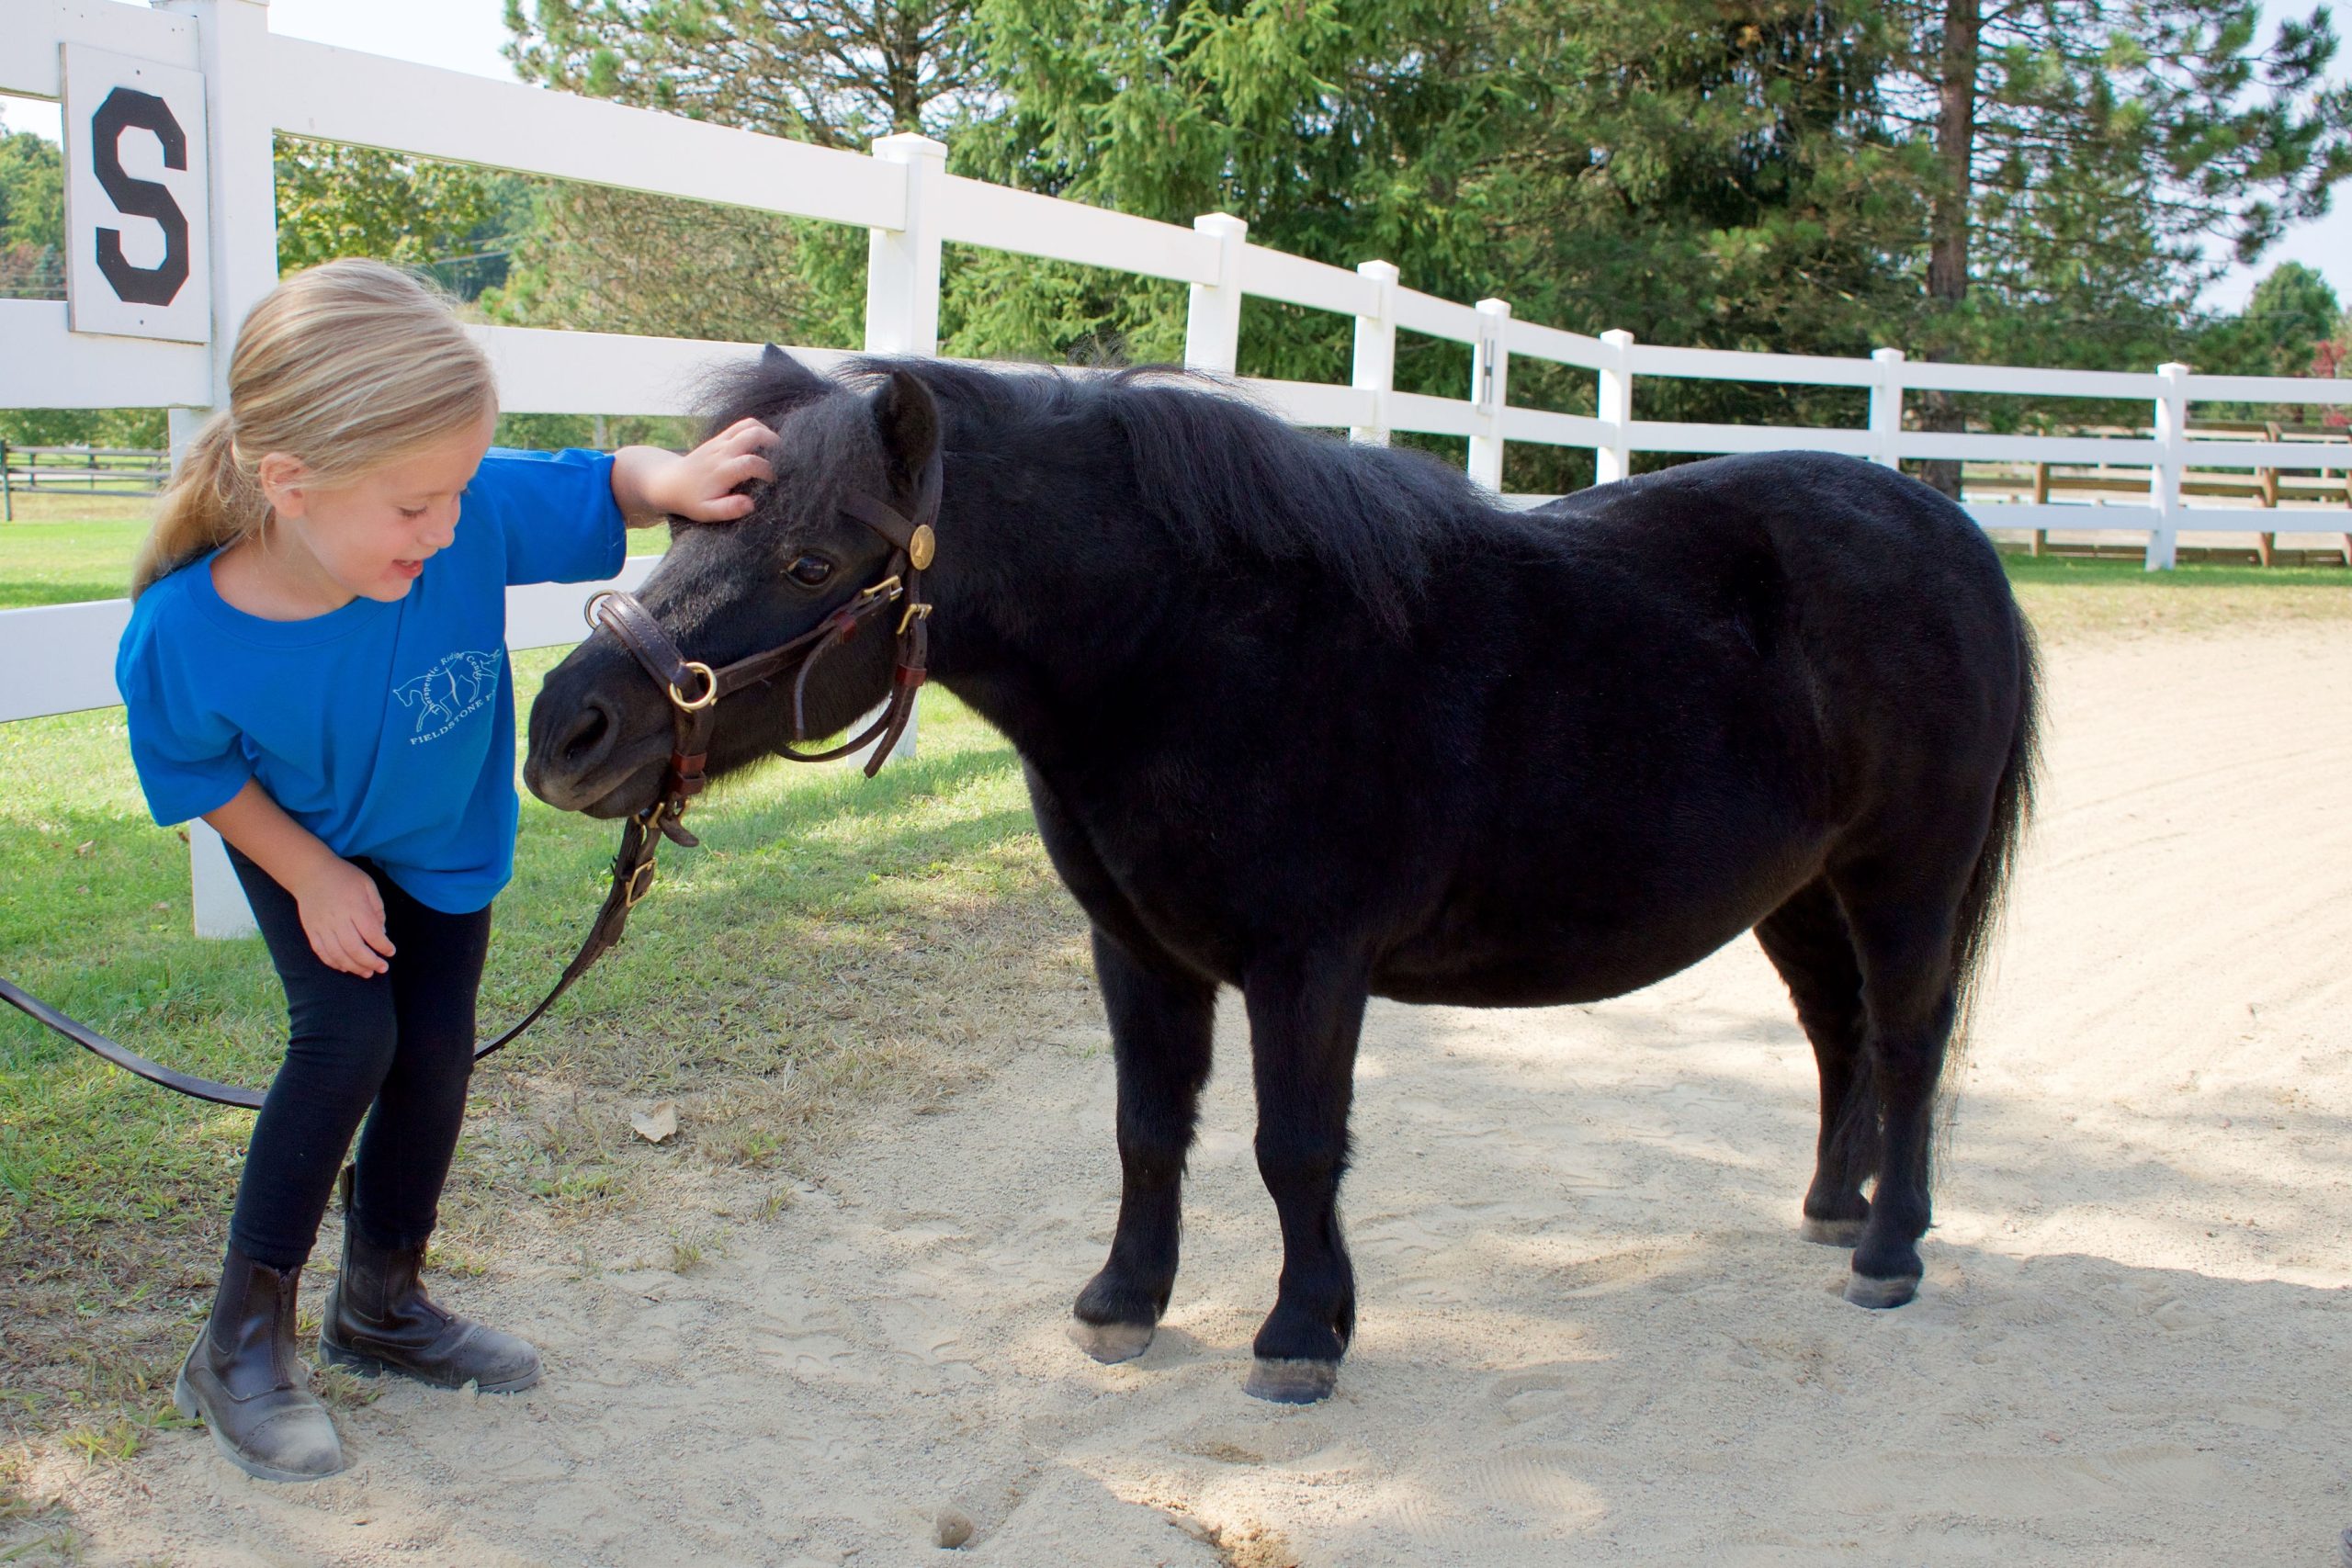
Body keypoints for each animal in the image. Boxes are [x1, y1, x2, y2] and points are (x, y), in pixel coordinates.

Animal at [522, 348, 2039, 1404]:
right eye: (684, 526)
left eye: (810, 556)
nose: (568, 729)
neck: (1194, 649)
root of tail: (1945, 530)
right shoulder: (1138, 951)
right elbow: (1148, 1130)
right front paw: (1124, 1301)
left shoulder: (1308, 965)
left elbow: (1293, 1145)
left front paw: (1303, 1331)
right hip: (1803, 890)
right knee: (1840, 1037)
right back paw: (1831, 1208)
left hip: (1906, 874)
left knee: (1909, 1042)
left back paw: (1889, 1249)